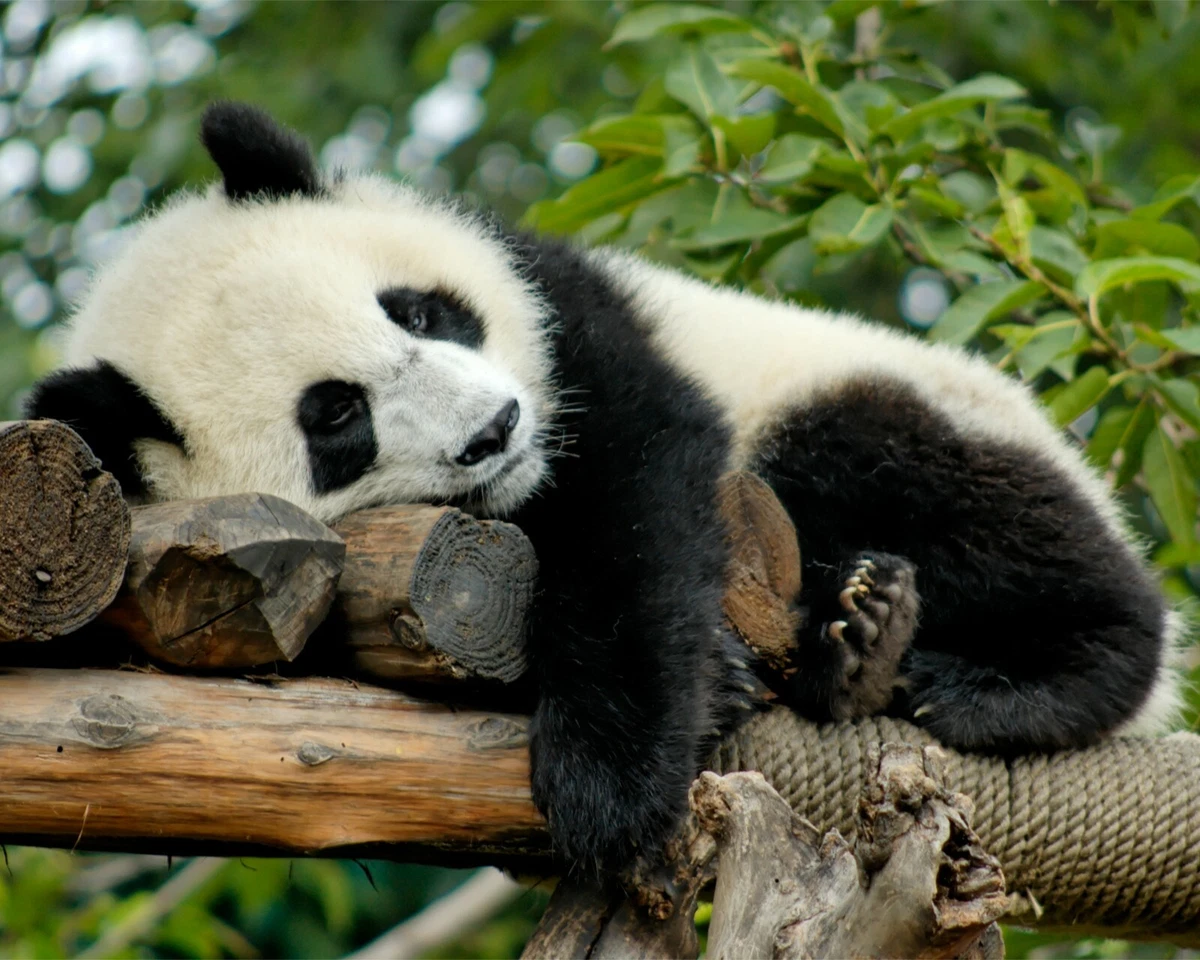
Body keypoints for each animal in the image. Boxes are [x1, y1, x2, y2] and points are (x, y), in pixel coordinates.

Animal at [28, 102, 1184, 876]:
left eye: (418, 311)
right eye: (337, 418)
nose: (496, 430)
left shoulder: (569, 318)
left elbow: (639, 496)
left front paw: (611, 779)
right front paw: (703, 700)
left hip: (882, 399)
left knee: (922, 479)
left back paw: (1003, 673)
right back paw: (856, 651)